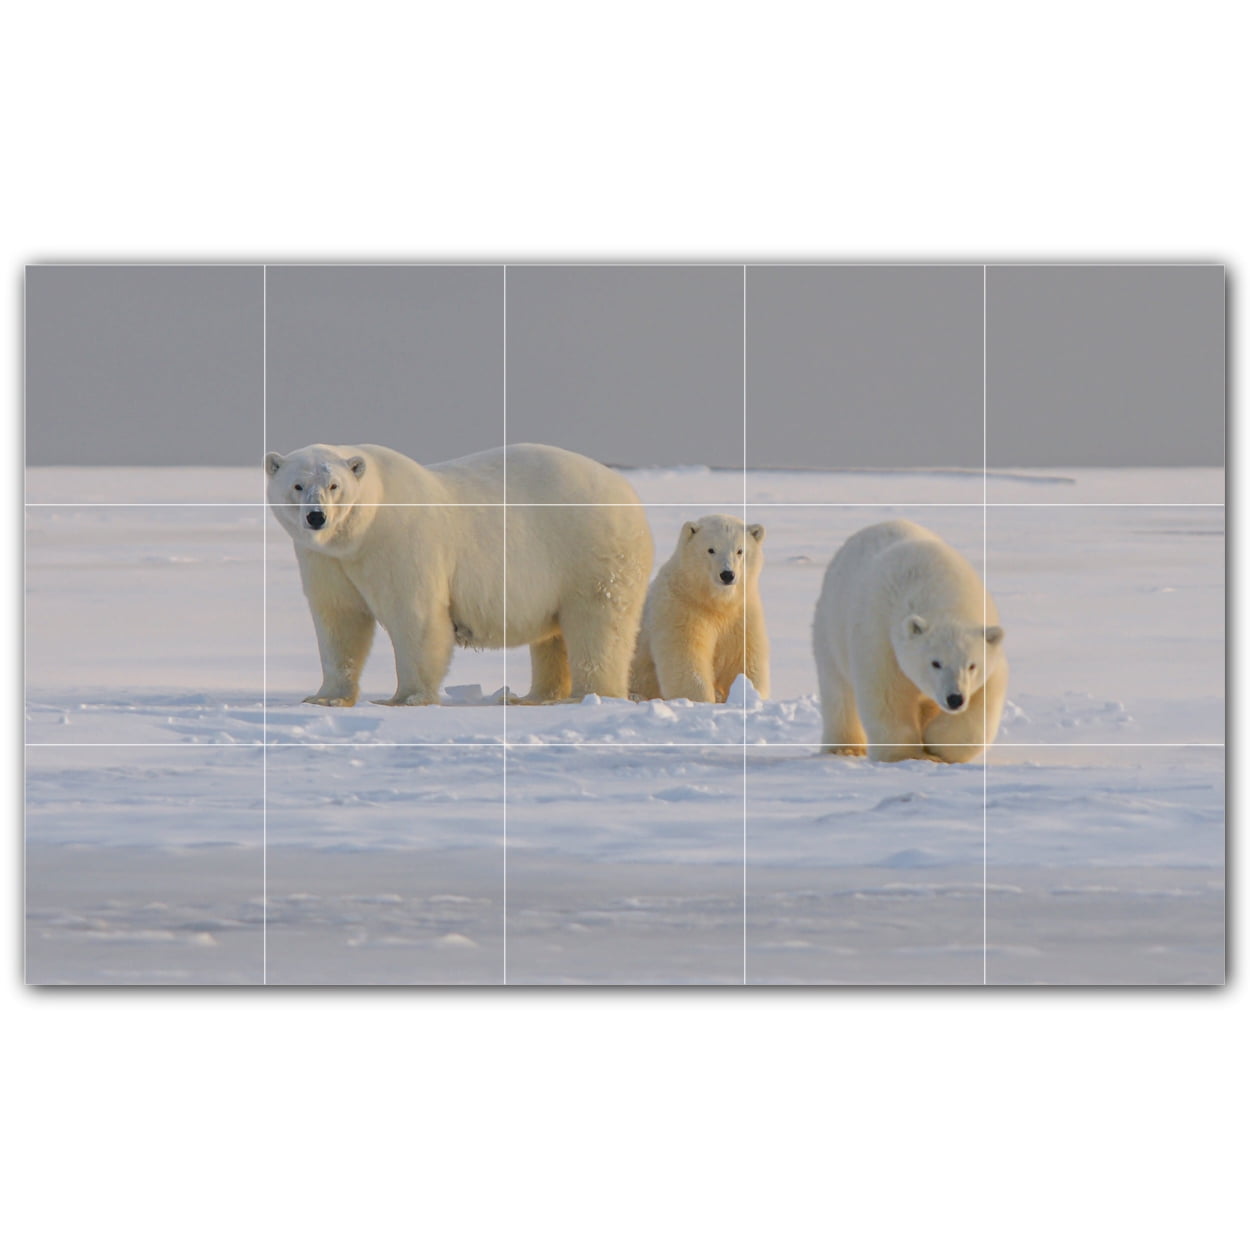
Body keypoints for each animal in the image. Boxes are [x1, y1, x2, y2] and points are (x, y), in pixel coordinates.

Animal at [265, 442, 653, 706]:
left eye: (334, 486)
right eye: (297, 485)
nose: (316, 517)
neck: (362, 531)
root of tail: (627, 491)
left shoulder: (401, 542)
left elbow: (415, 617)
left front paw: (405, 698)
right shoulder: (325, 559)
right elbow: (339, 620)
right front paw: (325, 697)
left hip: (590, 551)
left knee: (598, 624)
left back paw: (590, 695)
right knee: (553, 636)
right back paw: (534, 696)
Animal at [630, 514, 769, 703]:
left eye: (740, 551)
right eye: (711, 549)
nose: (727, 574)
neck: (714, 602)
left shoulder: (742, 613)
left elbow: (744, 658)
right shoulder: (682, 608)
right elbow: (686, 657)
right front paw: (702, 700)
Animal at [812, 519, 1007, 763]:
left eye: (972, 665)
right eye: (935, 663)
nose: (955, 699)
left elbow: (984, 700)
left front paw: (936, 745)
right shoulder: (881, 637)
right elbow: (887, 695)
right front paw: (906, 755)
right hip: (830, 628)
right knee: (838, 691)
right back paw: (844, 748)